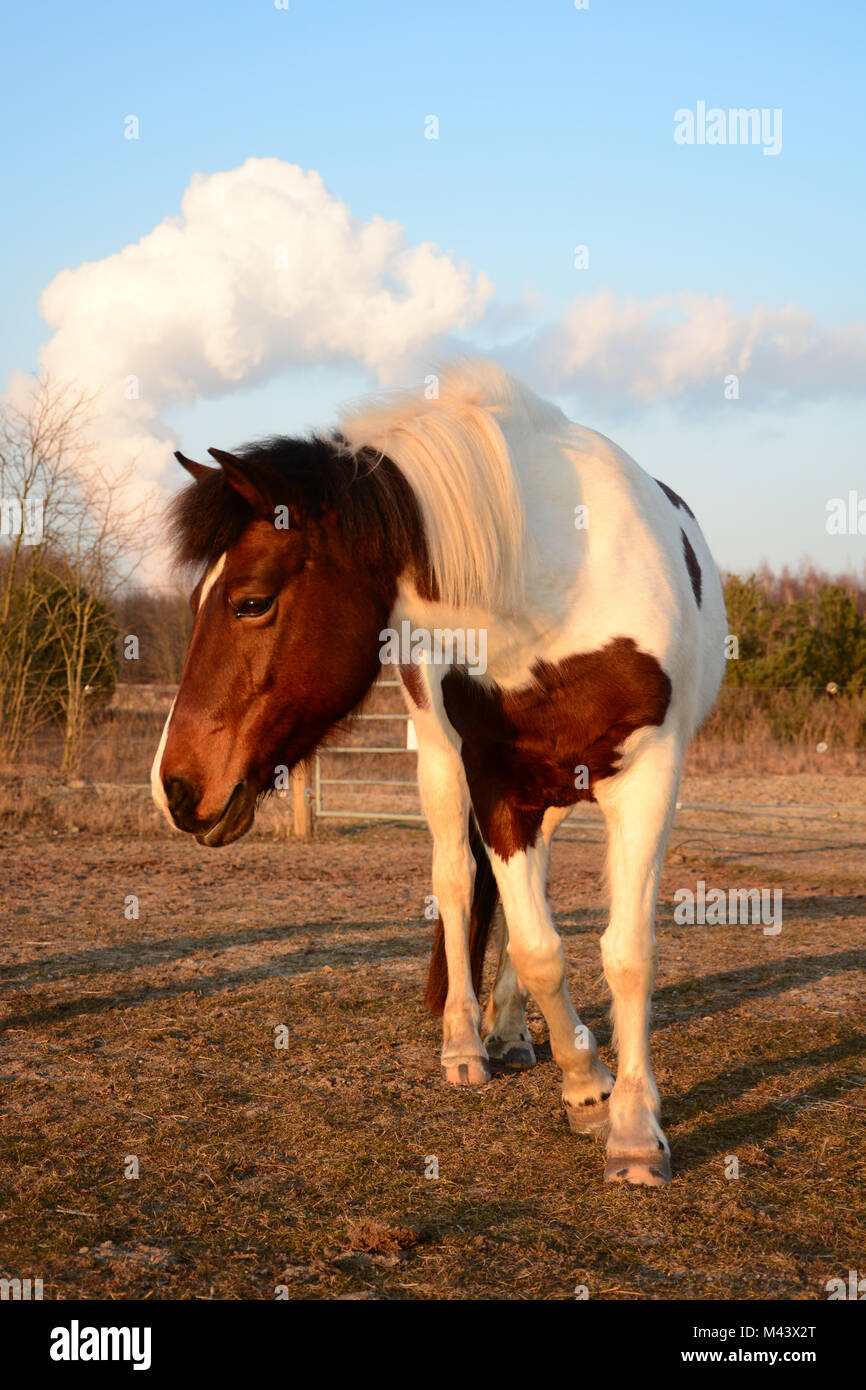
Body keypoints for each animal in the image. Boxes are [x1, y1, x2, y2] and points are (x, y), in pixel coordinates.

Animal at [151, 359, 726, 1186]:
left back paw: (513, 1032)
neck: (557, 584)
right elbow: (537, 946)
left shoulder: (649, 777)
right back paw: (467, 1044)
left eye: (250, 602)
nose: (176, 787)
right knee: (457, 883)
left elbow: (625, 954)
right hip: (444, 763)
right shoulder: (494, 781)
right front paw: (589, 1090)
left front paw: (634, 1131)